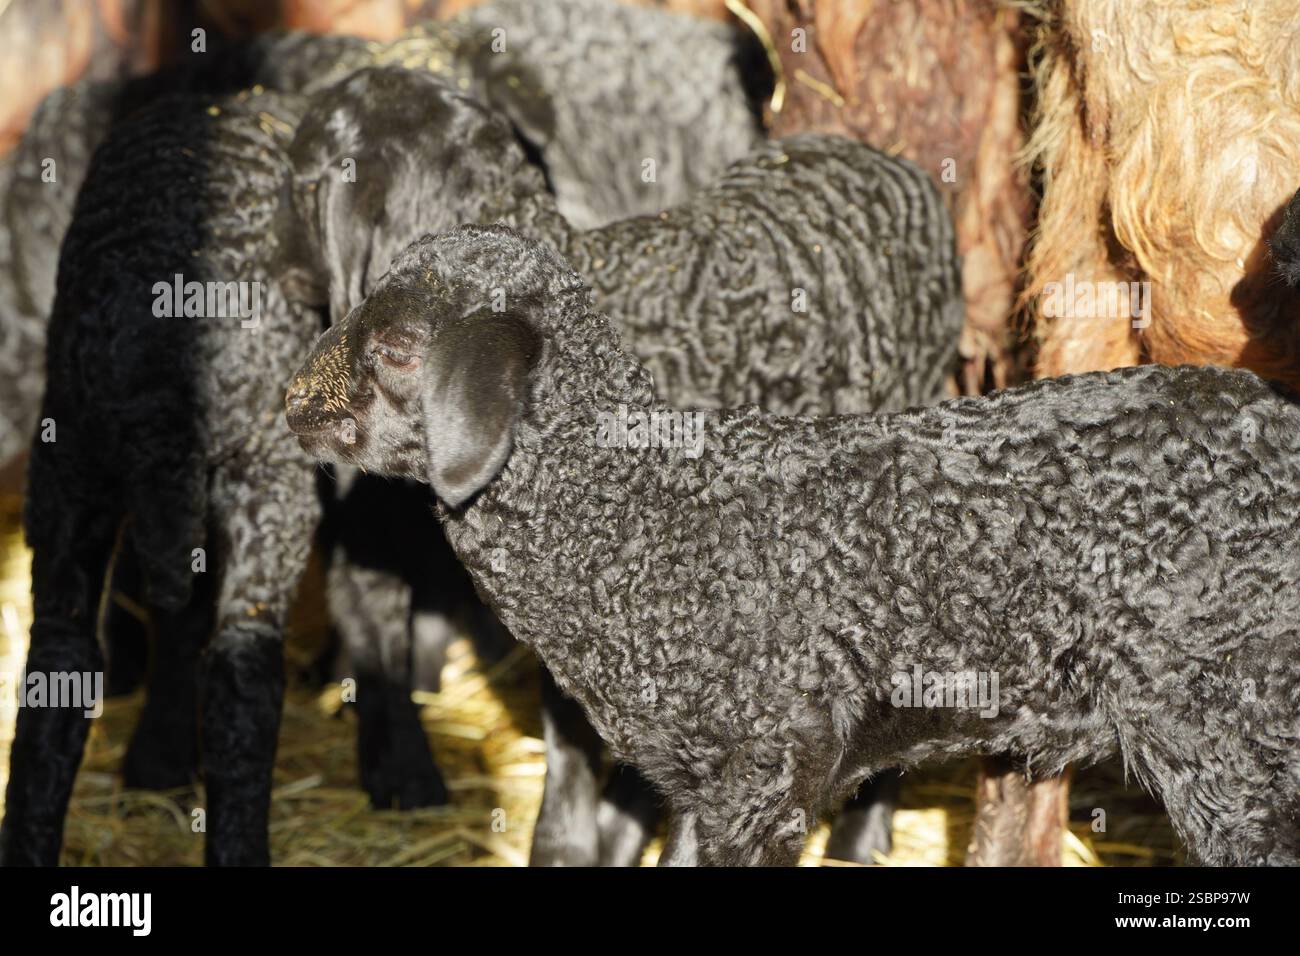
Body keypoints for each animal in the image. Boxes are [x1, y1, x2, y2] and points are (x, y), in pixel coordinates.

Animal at [286, 222, 1300, 866]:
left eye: (400, 345)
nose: (293, 402)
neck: (632, 518)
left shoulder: (767, 772)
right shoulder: (701, 785)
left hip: (1235, 738)